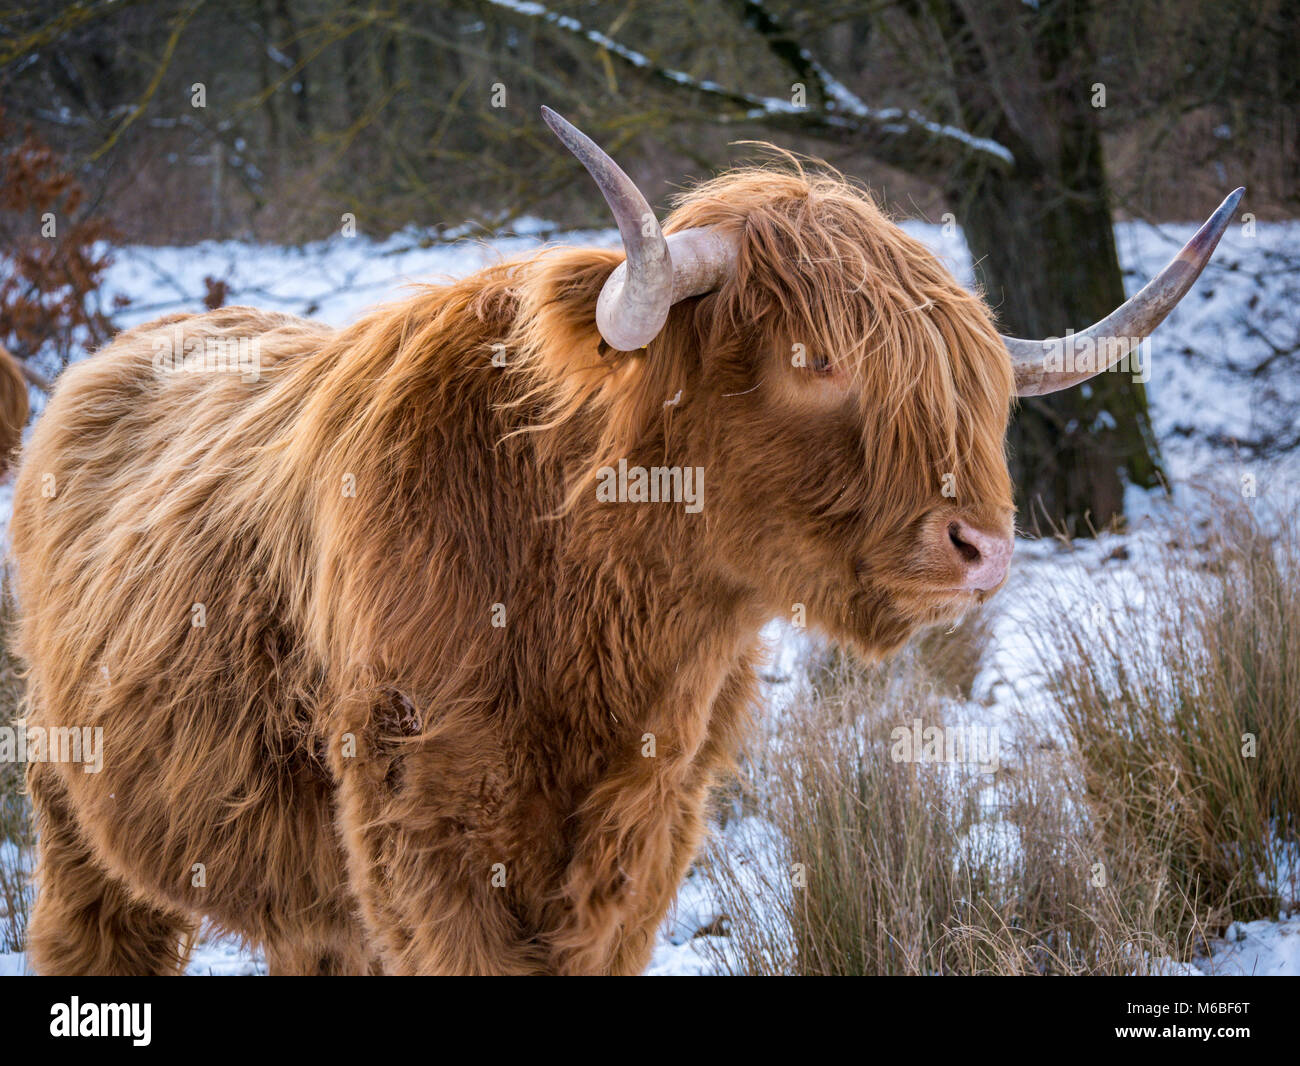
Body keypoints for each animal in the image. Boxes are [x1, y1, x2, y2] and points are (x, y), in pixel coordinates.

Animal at [9, 108, 1239, 975]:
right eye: (814, 361)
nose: (981, 546)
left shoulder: (650, 829)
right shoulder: (425, 833)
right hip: (75, 816)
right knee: (90, 933)